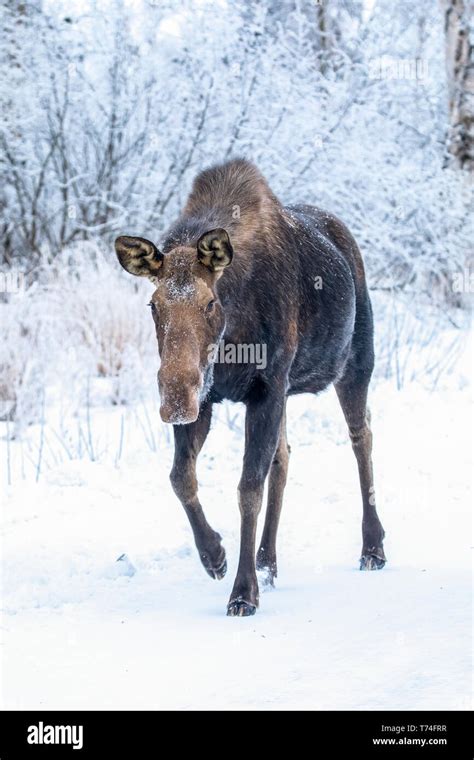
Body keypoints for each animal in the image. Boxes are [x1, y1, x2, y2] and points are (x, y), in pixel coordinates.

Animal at [115, 159, 386, 617]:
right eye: (154, 304)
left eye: (210, 302)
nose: (173, 402)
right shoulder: (209, 395)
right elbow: (181, 477)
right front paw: (215, 556)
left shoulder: (266, 386)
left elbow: (247, 488)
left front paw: (243, 592)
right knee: (285, 456)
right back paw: (267, 560)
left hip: (354, 363)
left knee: (361, 436)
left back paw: (372, 547)